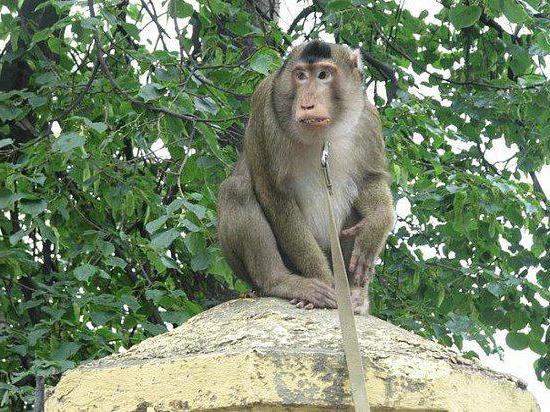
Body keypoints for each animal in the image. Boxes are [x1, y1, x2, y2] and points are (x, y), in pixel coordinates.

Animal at [218, 40, 394, 314]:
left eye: (323, 75)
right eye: (301, 76)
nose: (307, 105)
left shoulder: (367, 118)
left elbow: (369, 179)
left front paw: (376, 226)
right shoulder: (264, 104)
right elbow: (274, 193)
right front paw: (320, 279)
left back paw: (356, 294)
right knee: (235, 190)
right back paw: (280, 281)